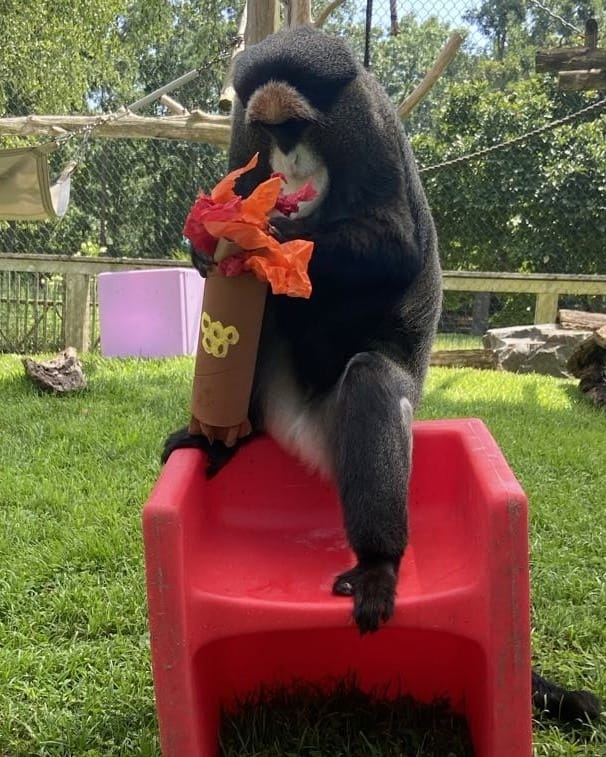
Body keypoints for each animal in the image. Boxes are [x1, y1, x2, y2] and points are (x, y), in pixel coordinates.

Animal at [162, 25, 601, 723]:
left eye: (297, 127)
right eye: (270, 131)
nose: (286, 164)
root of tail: (304, 430)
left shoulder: (367, 124)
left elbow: (397, 244)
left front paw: (269, 232)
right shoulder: (241, 134)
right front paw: (209, 241)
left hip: (365, 407)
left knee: (370, 380)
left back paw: (378, 563)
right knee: (269, 314)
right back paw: (226, 434)